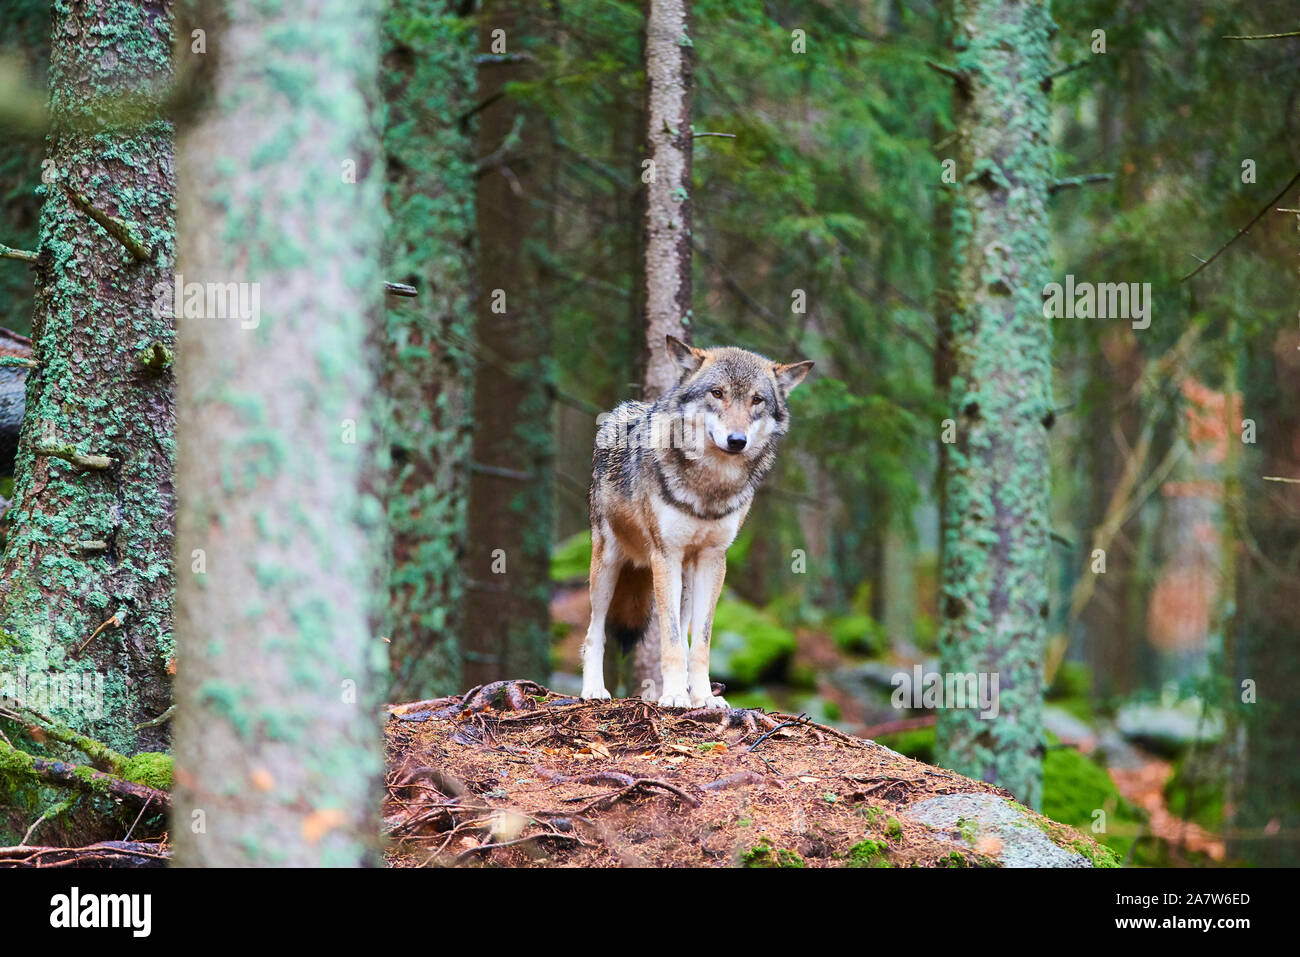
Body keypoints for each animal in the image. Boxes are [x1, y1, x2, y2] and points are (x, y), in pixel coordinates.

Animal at [580, 335, 814, 708]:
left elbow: (700, 643)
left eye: (757, 400)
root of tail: (621, 409)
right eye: (717, 393)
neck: (710, 487)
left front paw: (703, 697)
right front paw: (675, 696)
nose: (737, 440)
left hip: (685, 581)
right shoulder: (666, 555)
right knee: (594, 632)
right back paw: (593, 690)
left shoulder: (713, 559)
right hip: (608, 567)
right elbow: (672, 641)